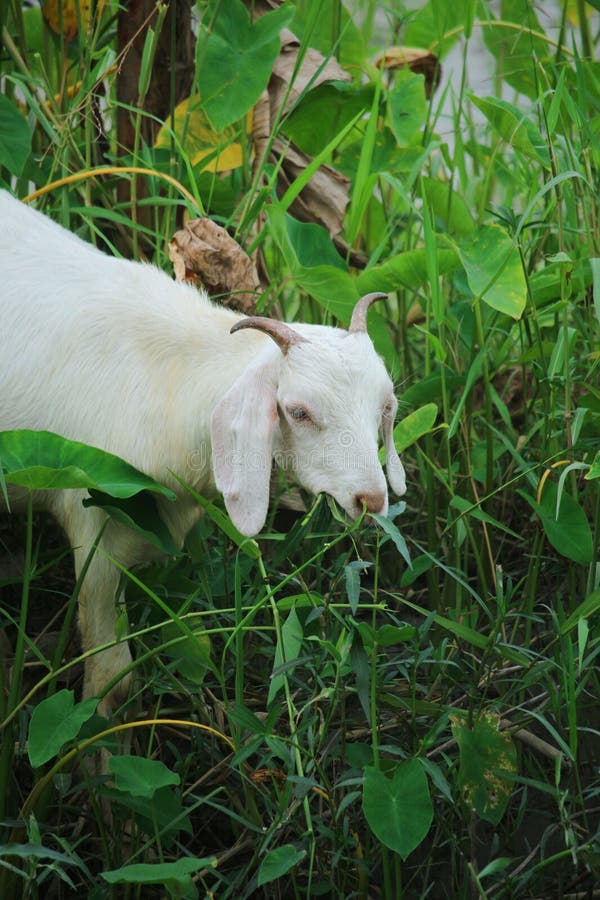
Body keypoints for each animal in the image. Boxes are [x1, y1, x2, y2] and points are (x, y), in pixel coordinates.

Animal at [0, 189, 406, 714]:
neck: (164, 375)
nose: (371, 499)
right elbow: (113, 678)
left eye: (384, 407)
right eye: (298, 411)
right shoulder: (89, 505)